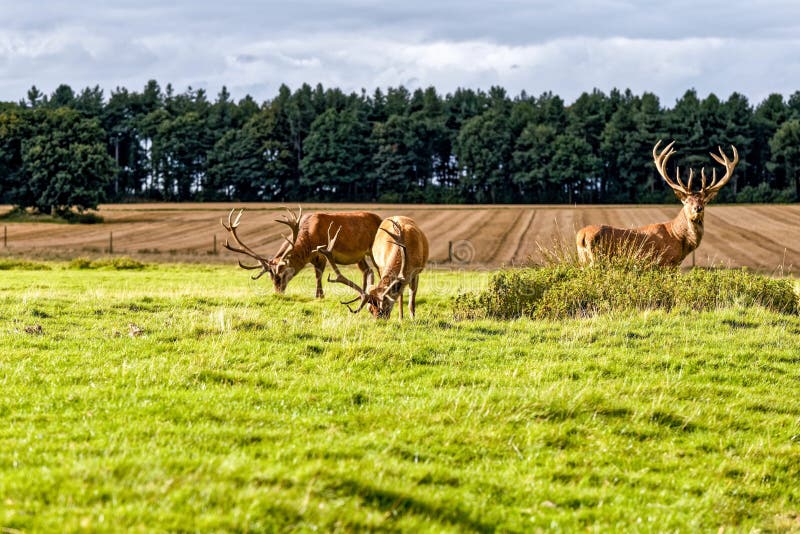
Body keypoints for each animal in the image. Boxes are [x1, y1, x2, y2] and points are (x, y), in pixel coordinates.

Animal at [220, 207, 383, 298]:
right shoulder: (313, 257)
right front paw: (318, 295)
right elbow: (317, 275)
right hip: (359, 256)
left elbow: (318, 275)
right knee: (366, 270)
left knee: (380, 269)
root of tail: (380, 219)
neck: (309, 239)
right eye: (270, 278)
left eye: (281, 275)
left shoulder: (322, 253)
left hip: (374, 251)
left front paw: (320, 296)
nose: (278, 293)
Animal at [576, 140, 739, 267]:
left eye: (703, 201)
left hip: (583, 260)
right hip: (597, 259)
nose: (697, 208)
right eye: (687, 201)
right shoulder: (665, 262)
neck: (677, 236)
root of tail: (582, 236)